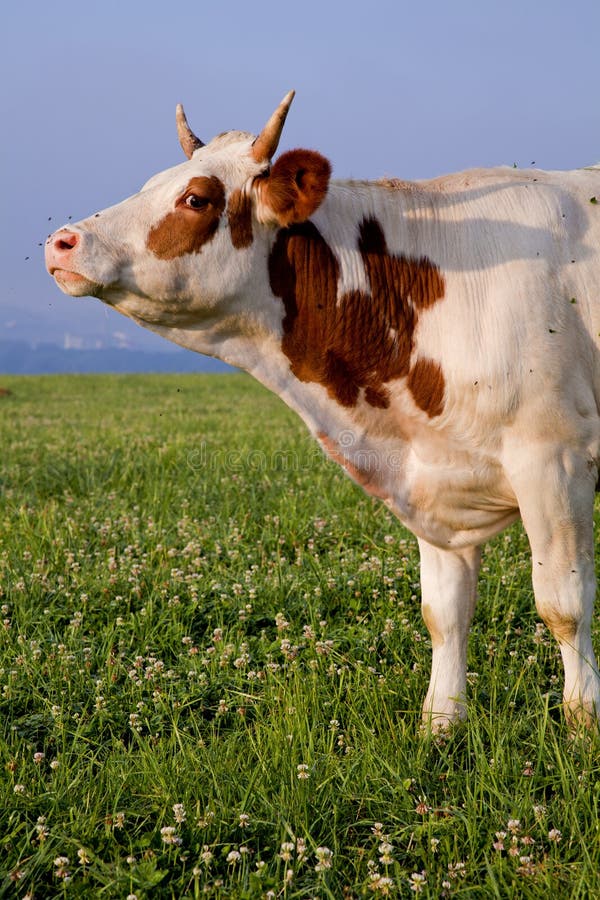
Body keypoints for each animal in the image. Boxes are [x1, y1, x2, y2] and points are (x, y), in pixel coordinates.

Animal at [45, 91, 600, 732]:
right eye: (150, 183)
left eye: (196, 198)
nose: (62, 241)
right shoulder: (435, 477)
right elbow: (445, 613)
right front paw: (440, 725)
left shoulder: (554, 460)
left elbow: (563, 604)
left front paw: (583, 724)